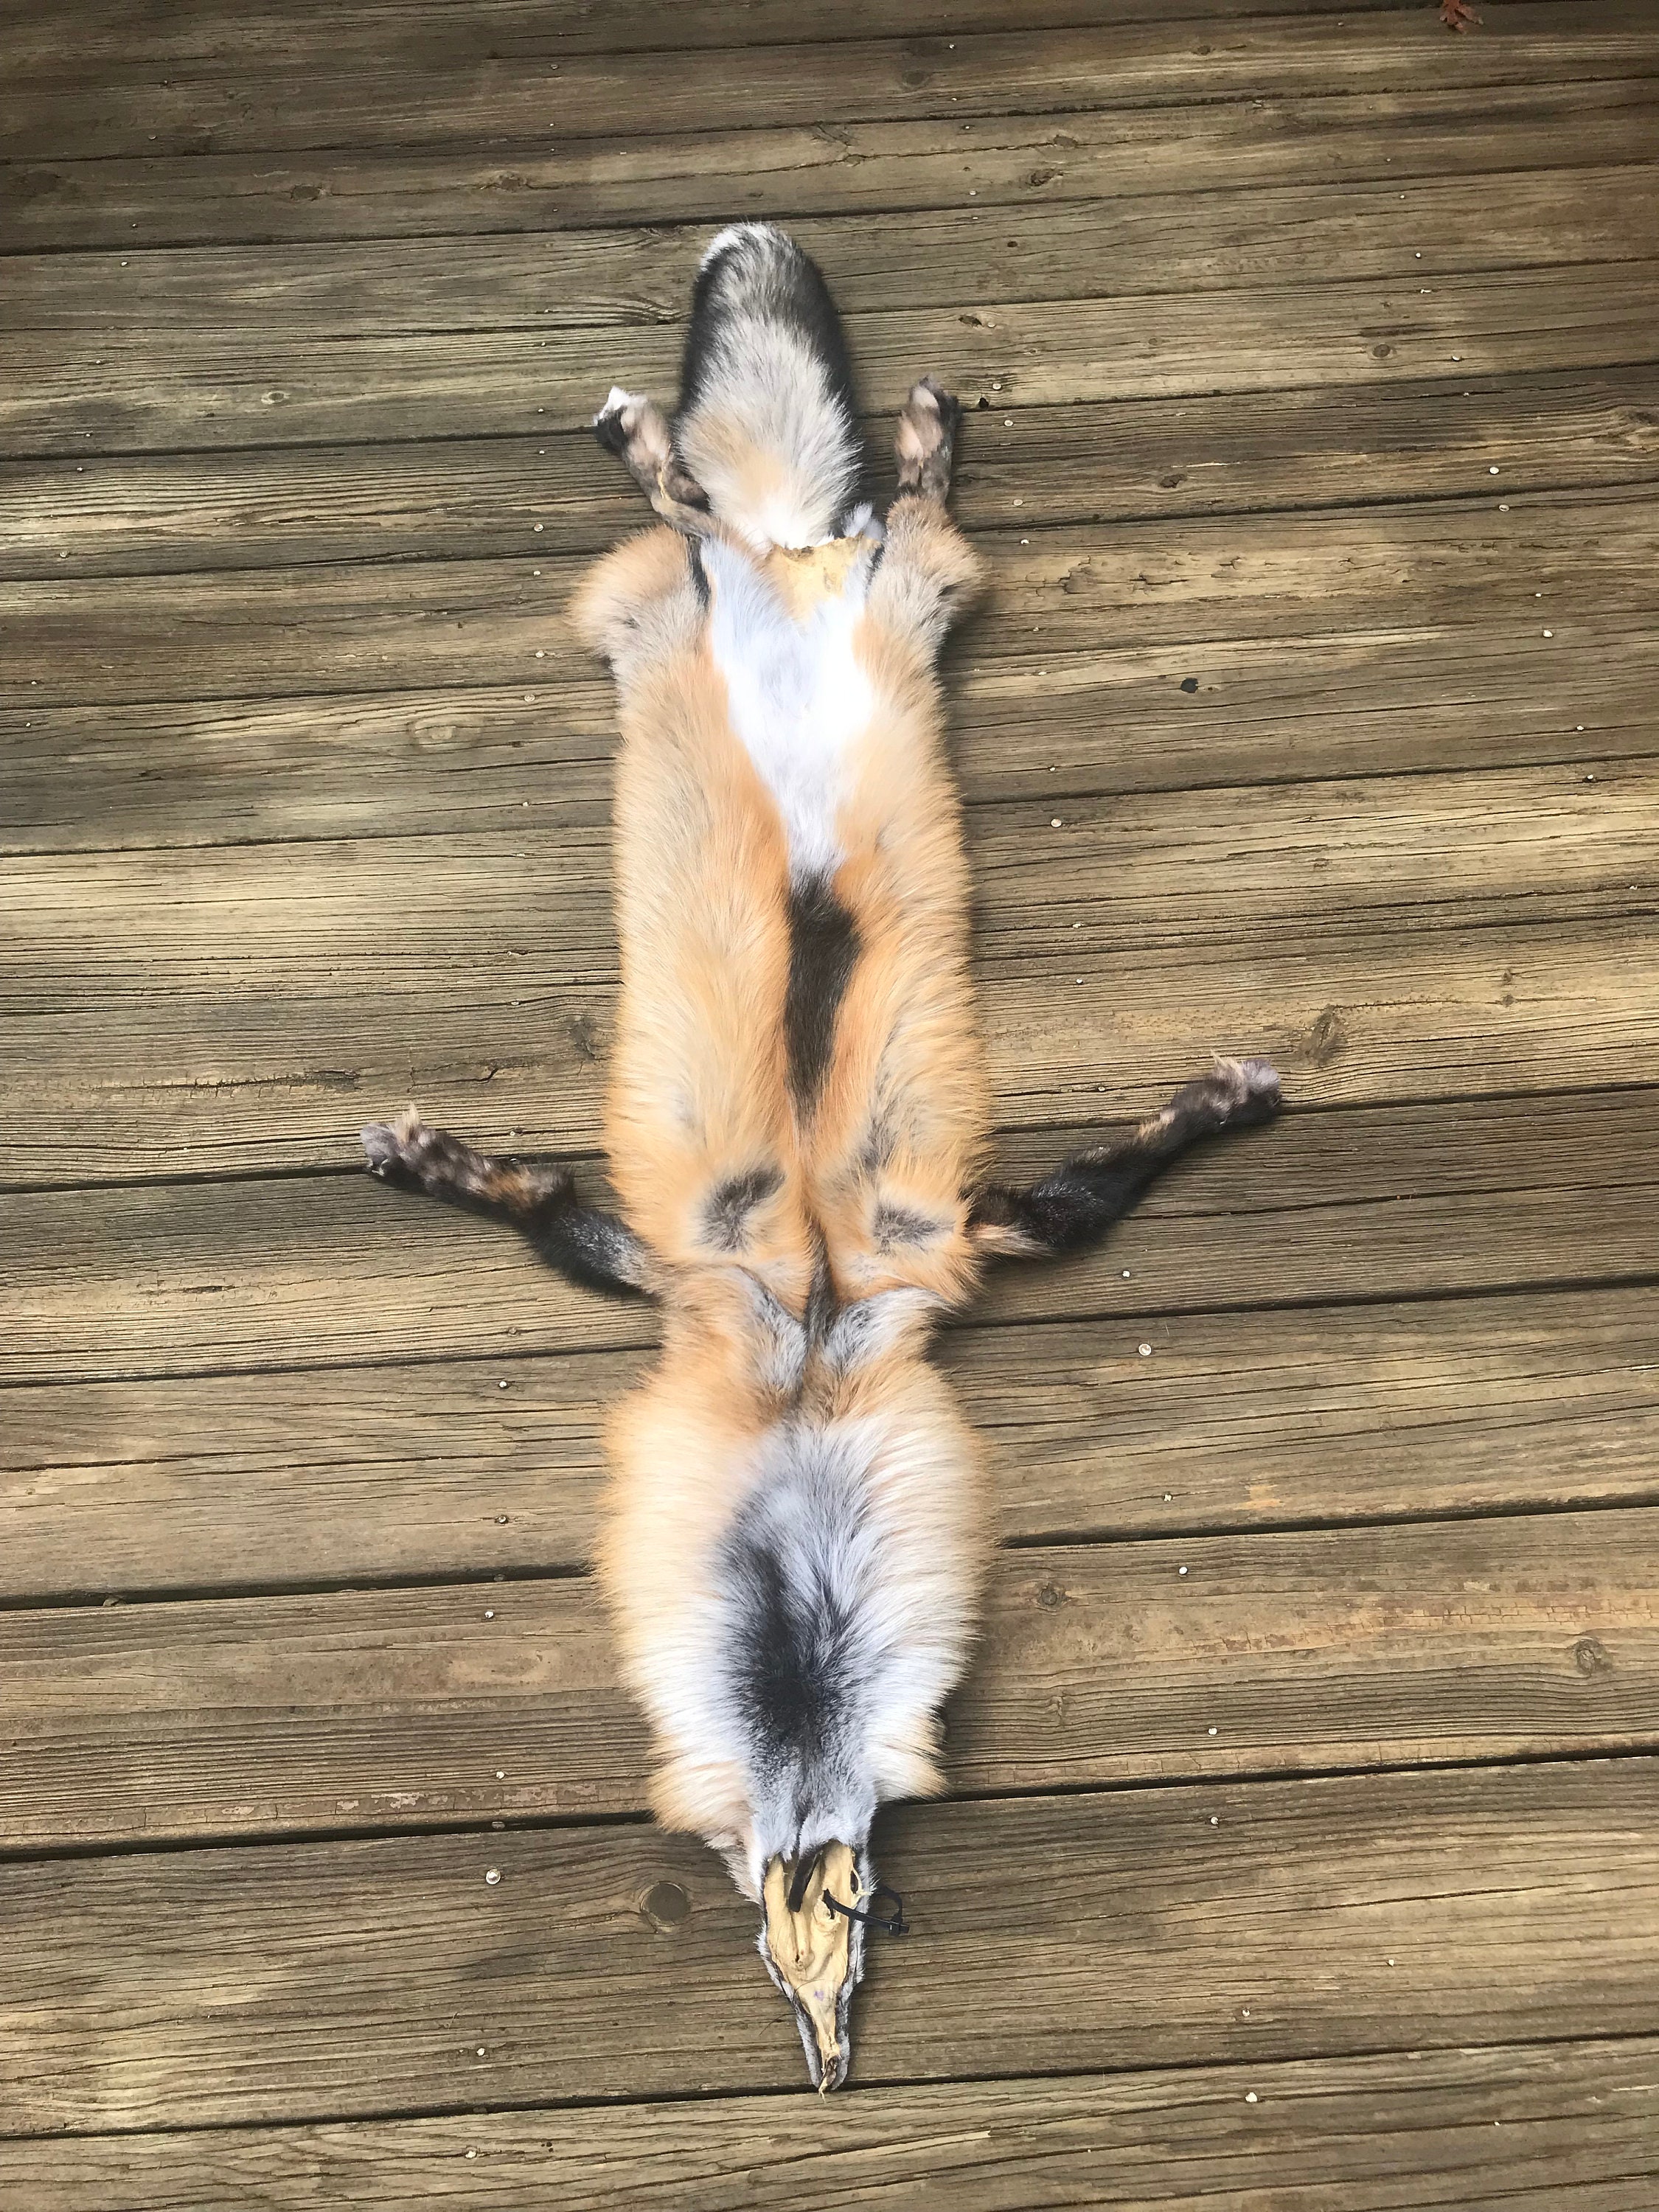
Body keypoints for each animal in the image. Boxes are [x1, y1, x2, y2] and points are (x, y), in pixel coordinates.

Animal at [362, 222, 1281, 2090]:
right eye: (783, 1934)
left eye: (849, 1925)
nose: (827, 2067)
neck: (802, 1347)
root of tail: (791, 572)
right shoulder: (688, 1268)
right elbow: (530, 1198)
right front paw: (429, 1158)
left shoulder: (948, 1244)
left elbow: (1099, 1184)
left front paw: (1221, 1104)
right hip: (698, 603)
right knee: (705, 513)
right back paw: (667, 439)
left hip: (899, 592)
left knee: (838, 513)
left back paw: (852, 439)